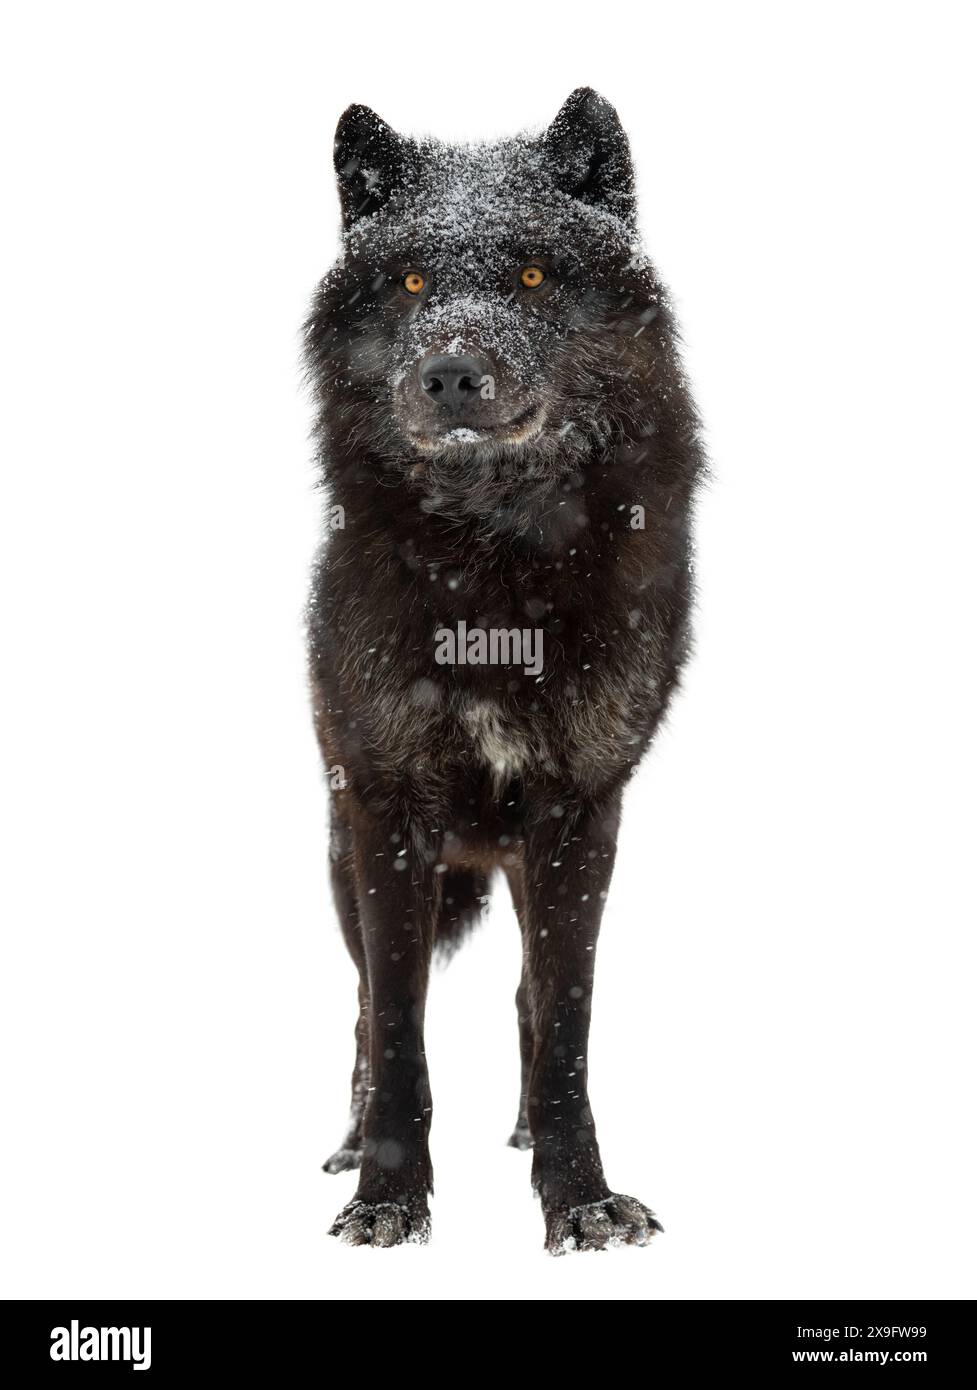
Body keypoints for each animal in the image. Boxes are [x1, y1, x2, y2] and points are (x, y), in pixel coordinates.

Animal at [305, 88, 703, 1252]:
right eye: (411, 284)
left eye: (529, 277)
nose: (448, 370)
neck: (490, 566)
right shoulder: (389, 817)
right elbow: (398, 1028)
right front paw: (385, 1197)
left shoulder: (579, 813)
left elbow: (562, 1020)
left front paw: (580, 1201)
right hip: (345, 856)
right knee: (363, 1005)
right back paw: (349, 1141)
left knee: (530, 995)